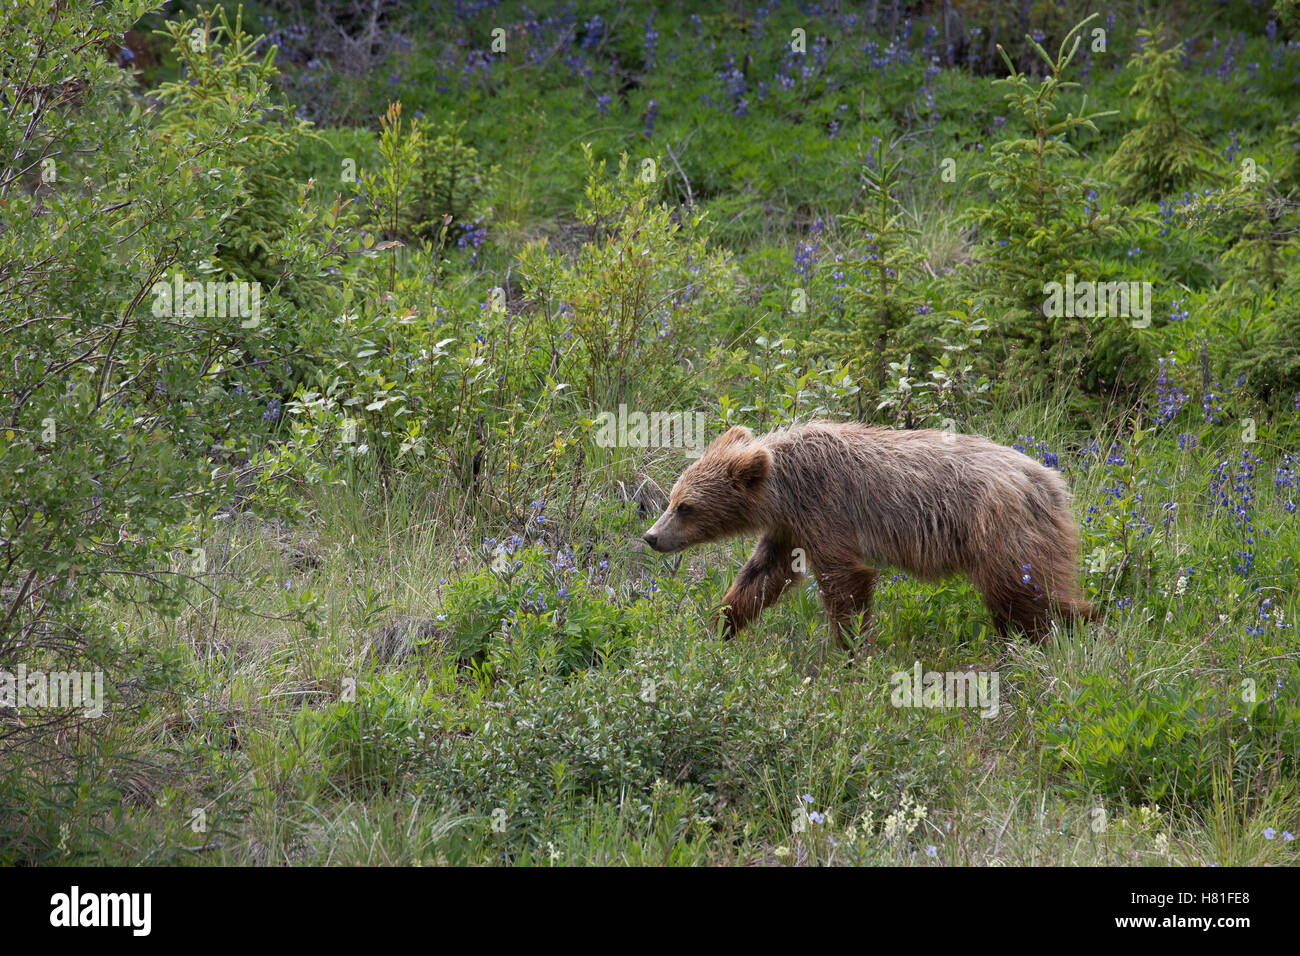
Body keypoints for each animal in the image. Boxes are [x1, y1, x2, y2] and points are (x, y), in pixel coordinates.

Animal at [642, 422, 1097, 647]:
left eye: (685, 506)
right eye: (673, 497)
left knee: (1023, 591)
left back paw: (1074, 628)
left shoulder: (826, 509)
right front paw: (719, 628)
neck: (784, 488)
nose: (651, 537)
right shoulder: (789, 527)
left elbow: (845, 580)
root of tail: (1050, 480)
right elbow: (763, 575)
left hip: (999, 530)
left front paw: (850, 650)